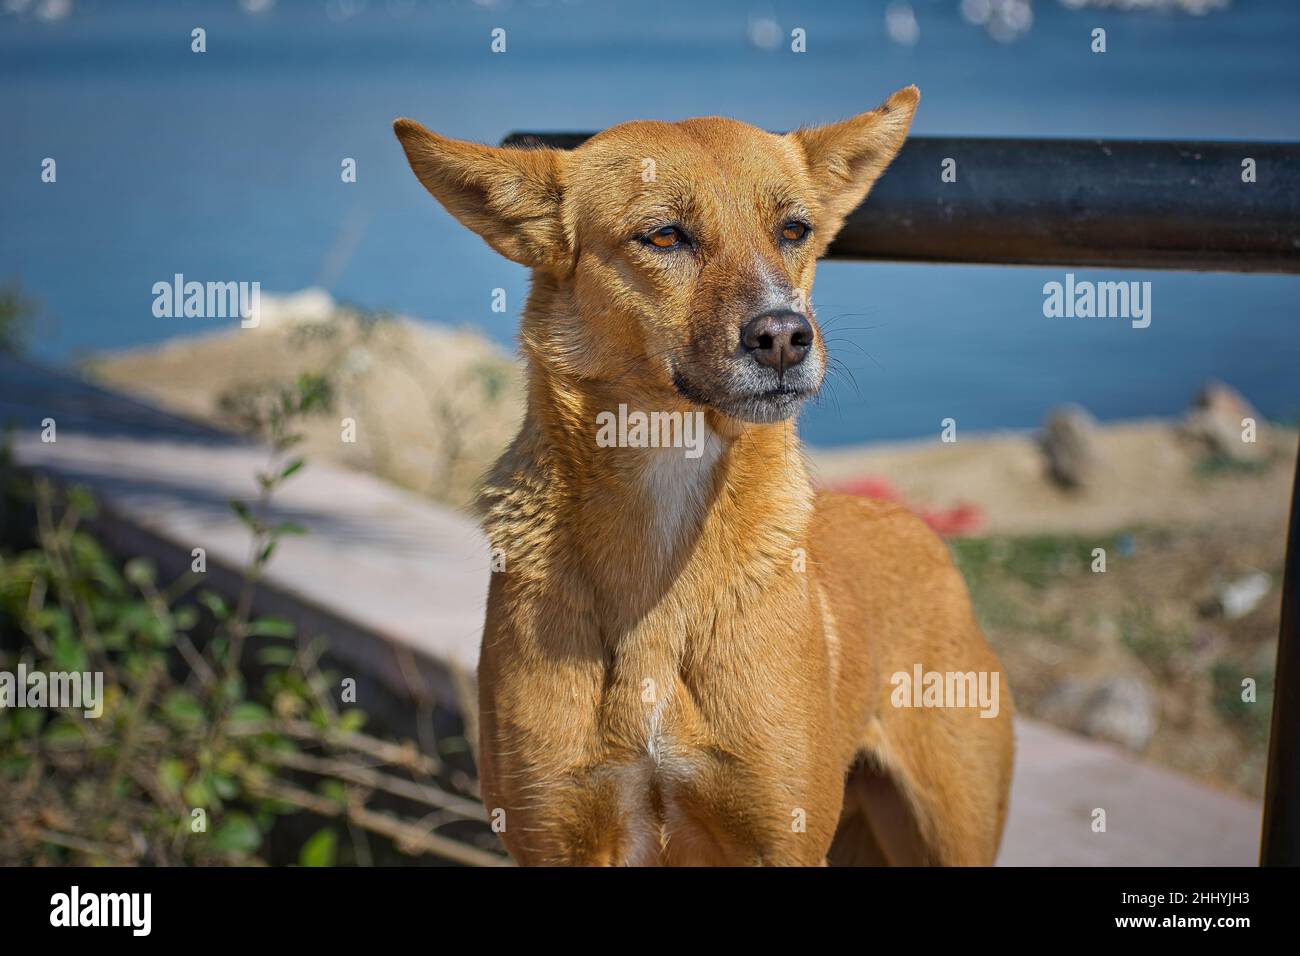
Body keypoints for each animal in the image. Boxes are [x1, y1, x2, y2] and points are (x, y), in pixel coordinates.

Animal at [392, 87, 1013, 868]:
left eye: (795, 229)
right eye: (664, 237)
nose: (784, 337)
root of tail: (915, 526)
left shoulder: (782, 837)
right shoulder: (555, 836)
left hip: (947, 829)